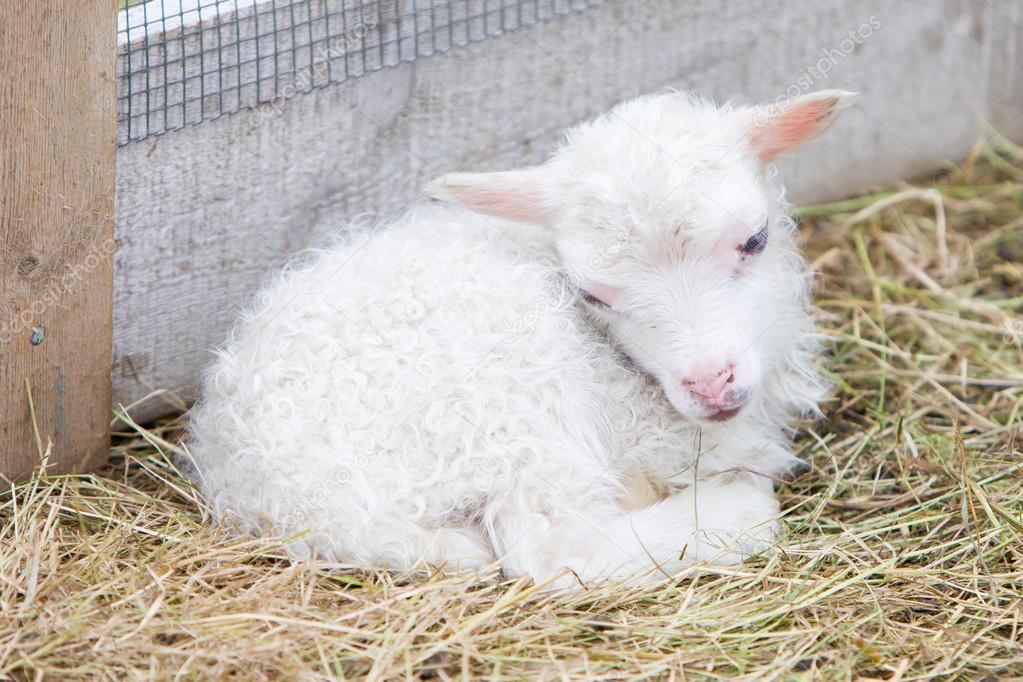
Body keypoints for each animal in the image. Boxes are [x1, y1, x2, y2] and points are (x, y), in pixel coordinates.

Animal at [187, 89, 854, 589]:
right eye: (591, 295)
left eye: (755, 240)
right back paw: (738, 514)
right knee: (556, 546)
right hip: (510, 405)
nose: (711, 384)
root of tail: (293, 501)